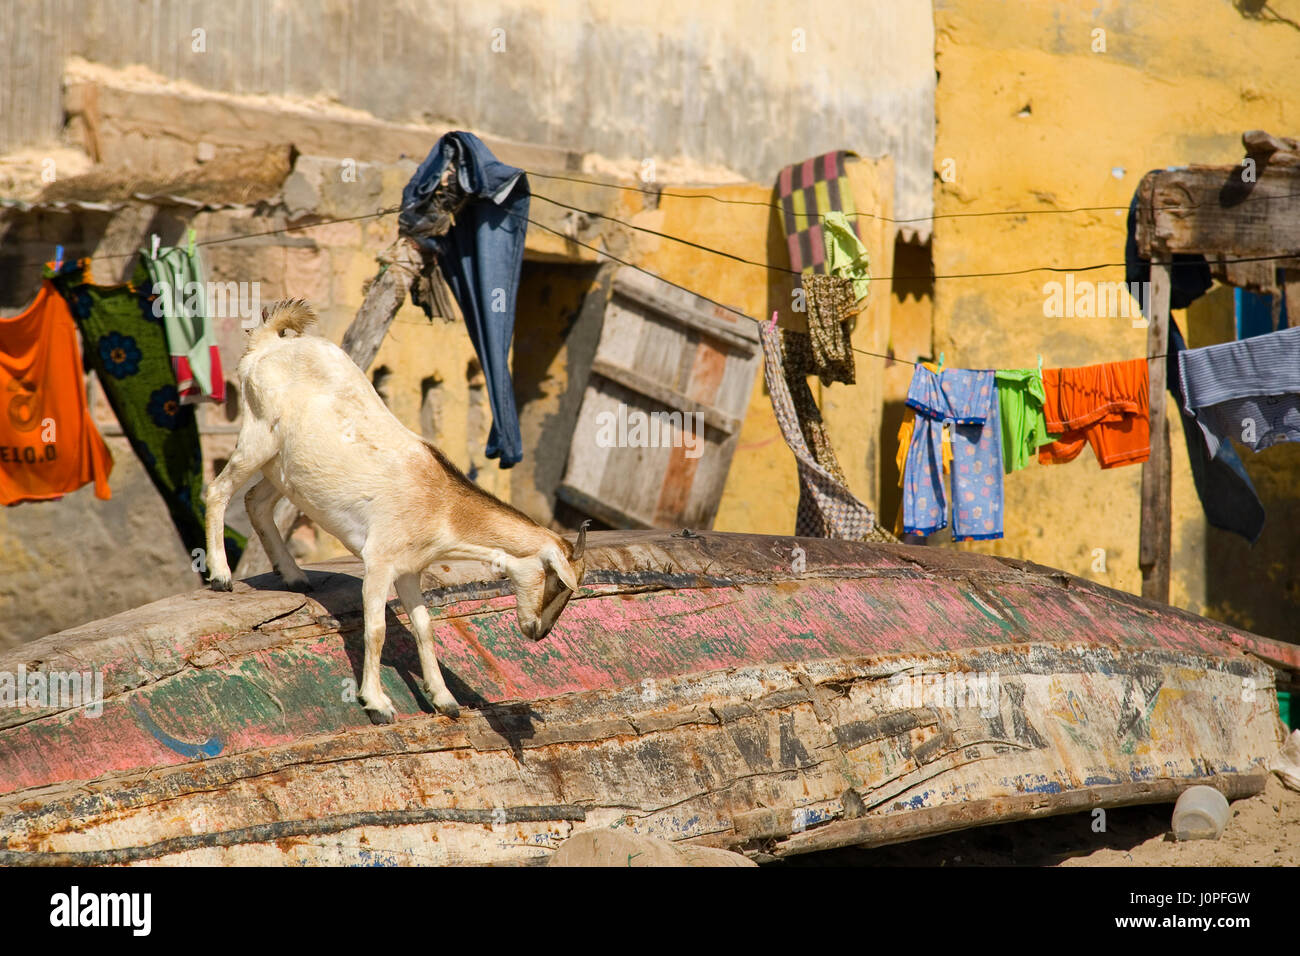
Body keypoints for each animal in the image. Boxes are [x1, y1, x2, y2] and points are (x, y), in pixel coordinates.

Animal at [203, 300, 588, 723]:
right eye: (558, 581)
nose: (540, 632)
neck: (442, 505)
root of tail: (268, 344)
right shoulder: (379, 561)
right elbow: (377, 630)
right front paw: (378, 704)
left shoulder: (409, 570)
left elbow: (425, 626)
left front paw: (444, 700)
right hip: (256, 439)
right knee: (218, 490)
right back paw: (221, 575)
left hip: (285, 470)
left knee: (256, 501)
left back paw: (293, 575)